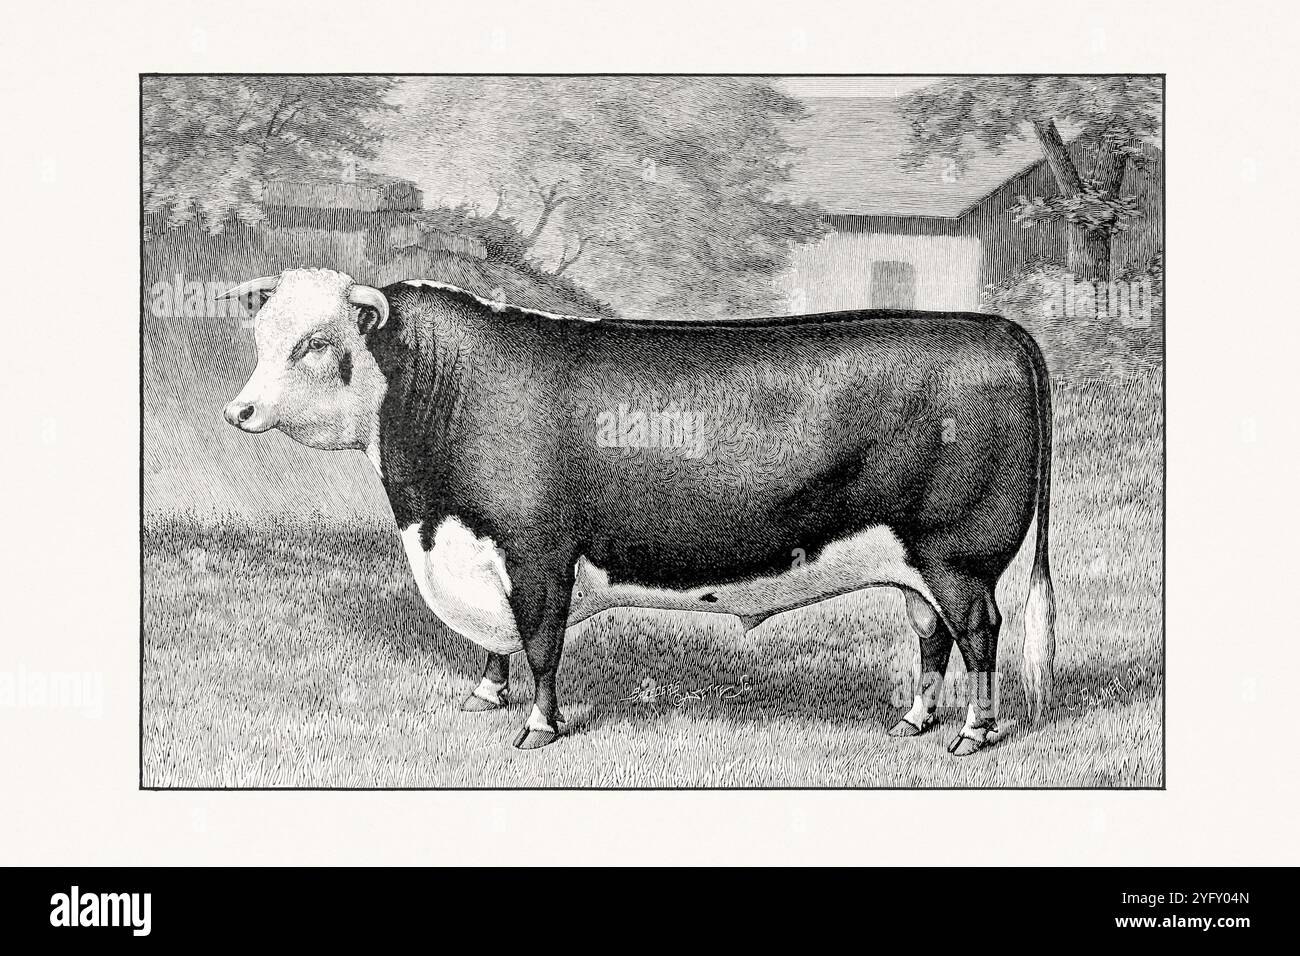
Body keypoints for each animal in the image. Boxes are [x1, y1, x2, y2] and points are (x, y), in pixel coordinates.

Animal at [220, 267, 1056, 754]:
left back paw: (974, 734)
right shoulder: (477, 552)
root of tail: (992, 326)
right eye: (262, 334)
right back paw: (913, 720)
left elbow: (541, 646)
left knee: (980, 632)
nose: (239, 411)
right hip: (912, 562)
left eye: (316, 343)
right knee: (931, 635)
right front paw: (485, 694)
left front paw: (536, 728)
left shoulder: (538, 555)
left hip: (958, 554)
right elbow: (496, 641)